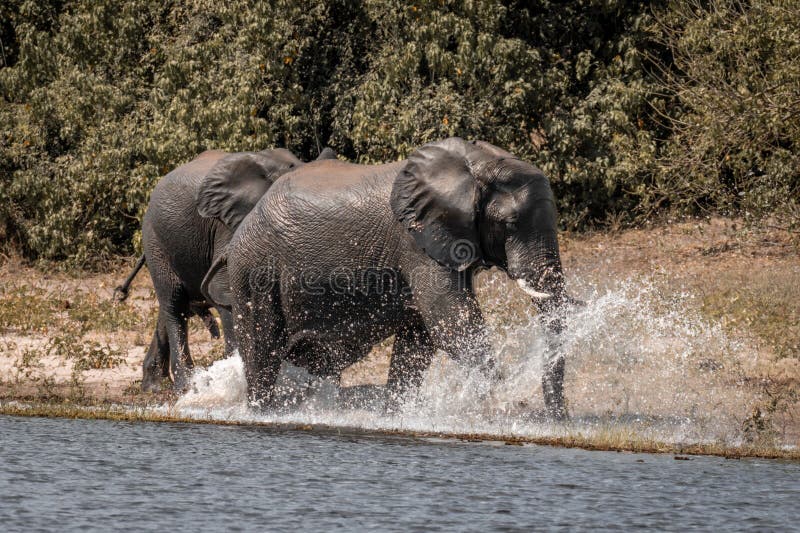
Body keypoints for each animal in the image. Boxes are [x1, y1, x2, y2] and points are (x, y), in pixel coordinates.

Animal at [114, 146, 337, 391]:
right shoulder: (226, 227)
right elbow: (228, 293)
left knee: (169, 306)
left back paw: (154, 385)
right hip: (155, 238)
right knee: (174, 304)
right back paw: (186, 387)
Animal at [201, 137, 577, 418]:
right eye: (510, 224)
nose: (558, 419)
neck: (477, 163)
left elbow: (420, 339)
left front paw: (396, 416)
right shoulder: (414, 242)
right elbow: (451, 321)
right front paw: (499, 404)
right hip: (255, 273)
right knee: (261, 353)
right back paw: (262, 414)